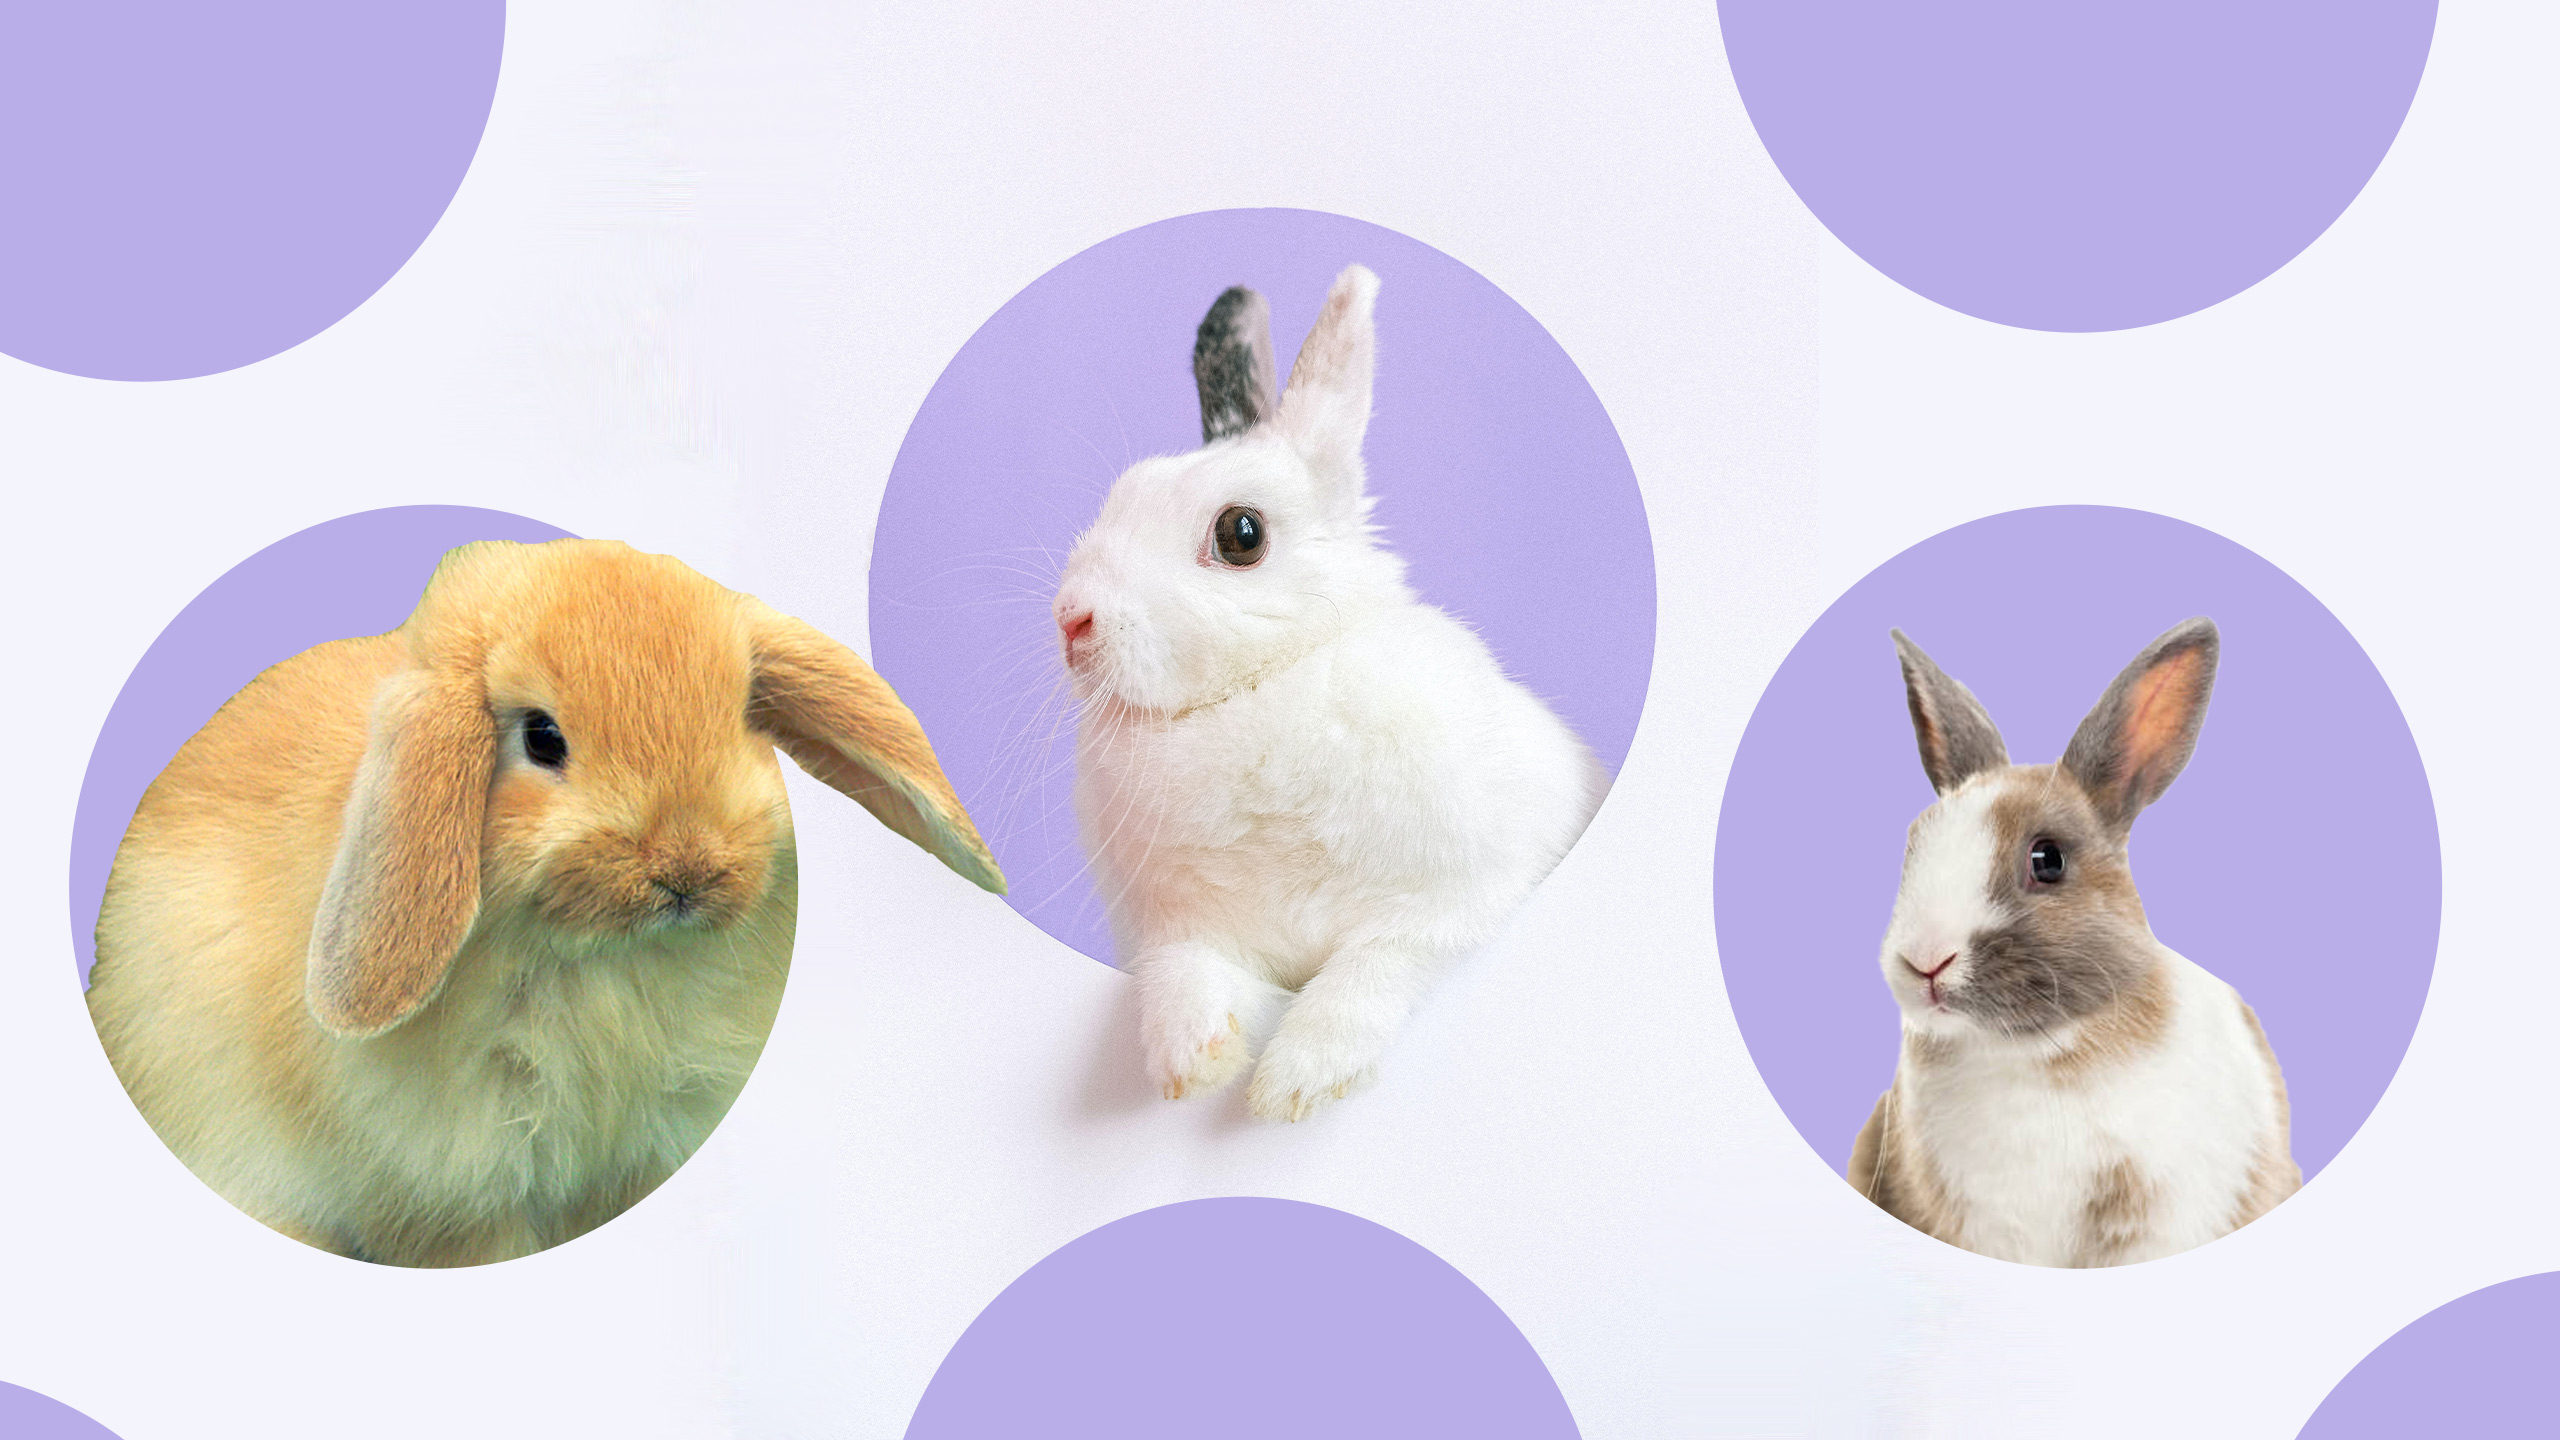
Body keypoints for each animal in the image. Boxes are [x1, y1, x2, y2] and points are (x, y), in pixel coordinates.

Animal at [1051, 265, 1608, 1123]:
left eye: (1241, 534)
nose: (1071, 619)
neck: (1261, 688)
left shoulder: (1458, 899)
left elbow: (1372, 971)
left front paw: (1296, 1081)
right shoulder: (1178, 928)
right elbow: (1185, 975)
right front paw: (1192, 1063)